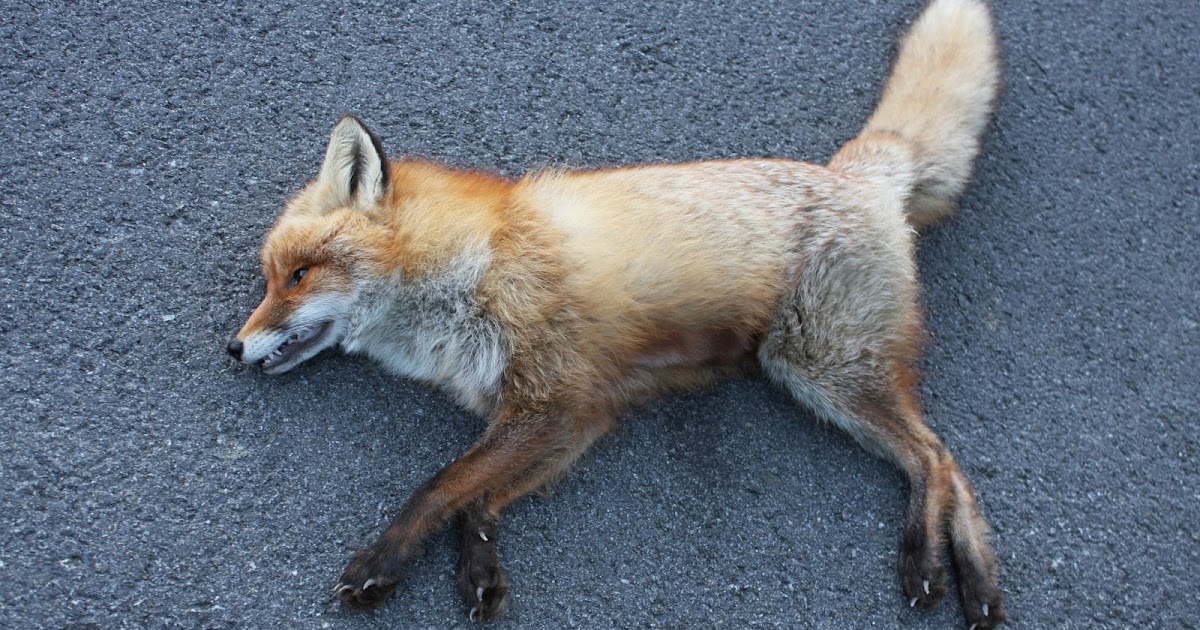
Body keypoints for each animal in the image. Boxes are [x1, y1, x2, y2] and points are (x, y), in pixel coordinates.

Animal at [227, 0, 1004, 626]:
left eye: (298, 276)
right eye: (268, 281)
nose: (234, 348)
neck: (473, 265)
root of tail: (858, 173)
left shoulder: (550, 400)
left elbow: (441, 484)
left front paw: (380, 566)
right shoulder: (577, 413)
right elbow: (479, 499)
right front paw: (480, 575)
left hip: (821, 367)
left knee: (935, 457)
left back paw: (932, 566)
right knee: (948, 463)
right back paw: (981, 586)